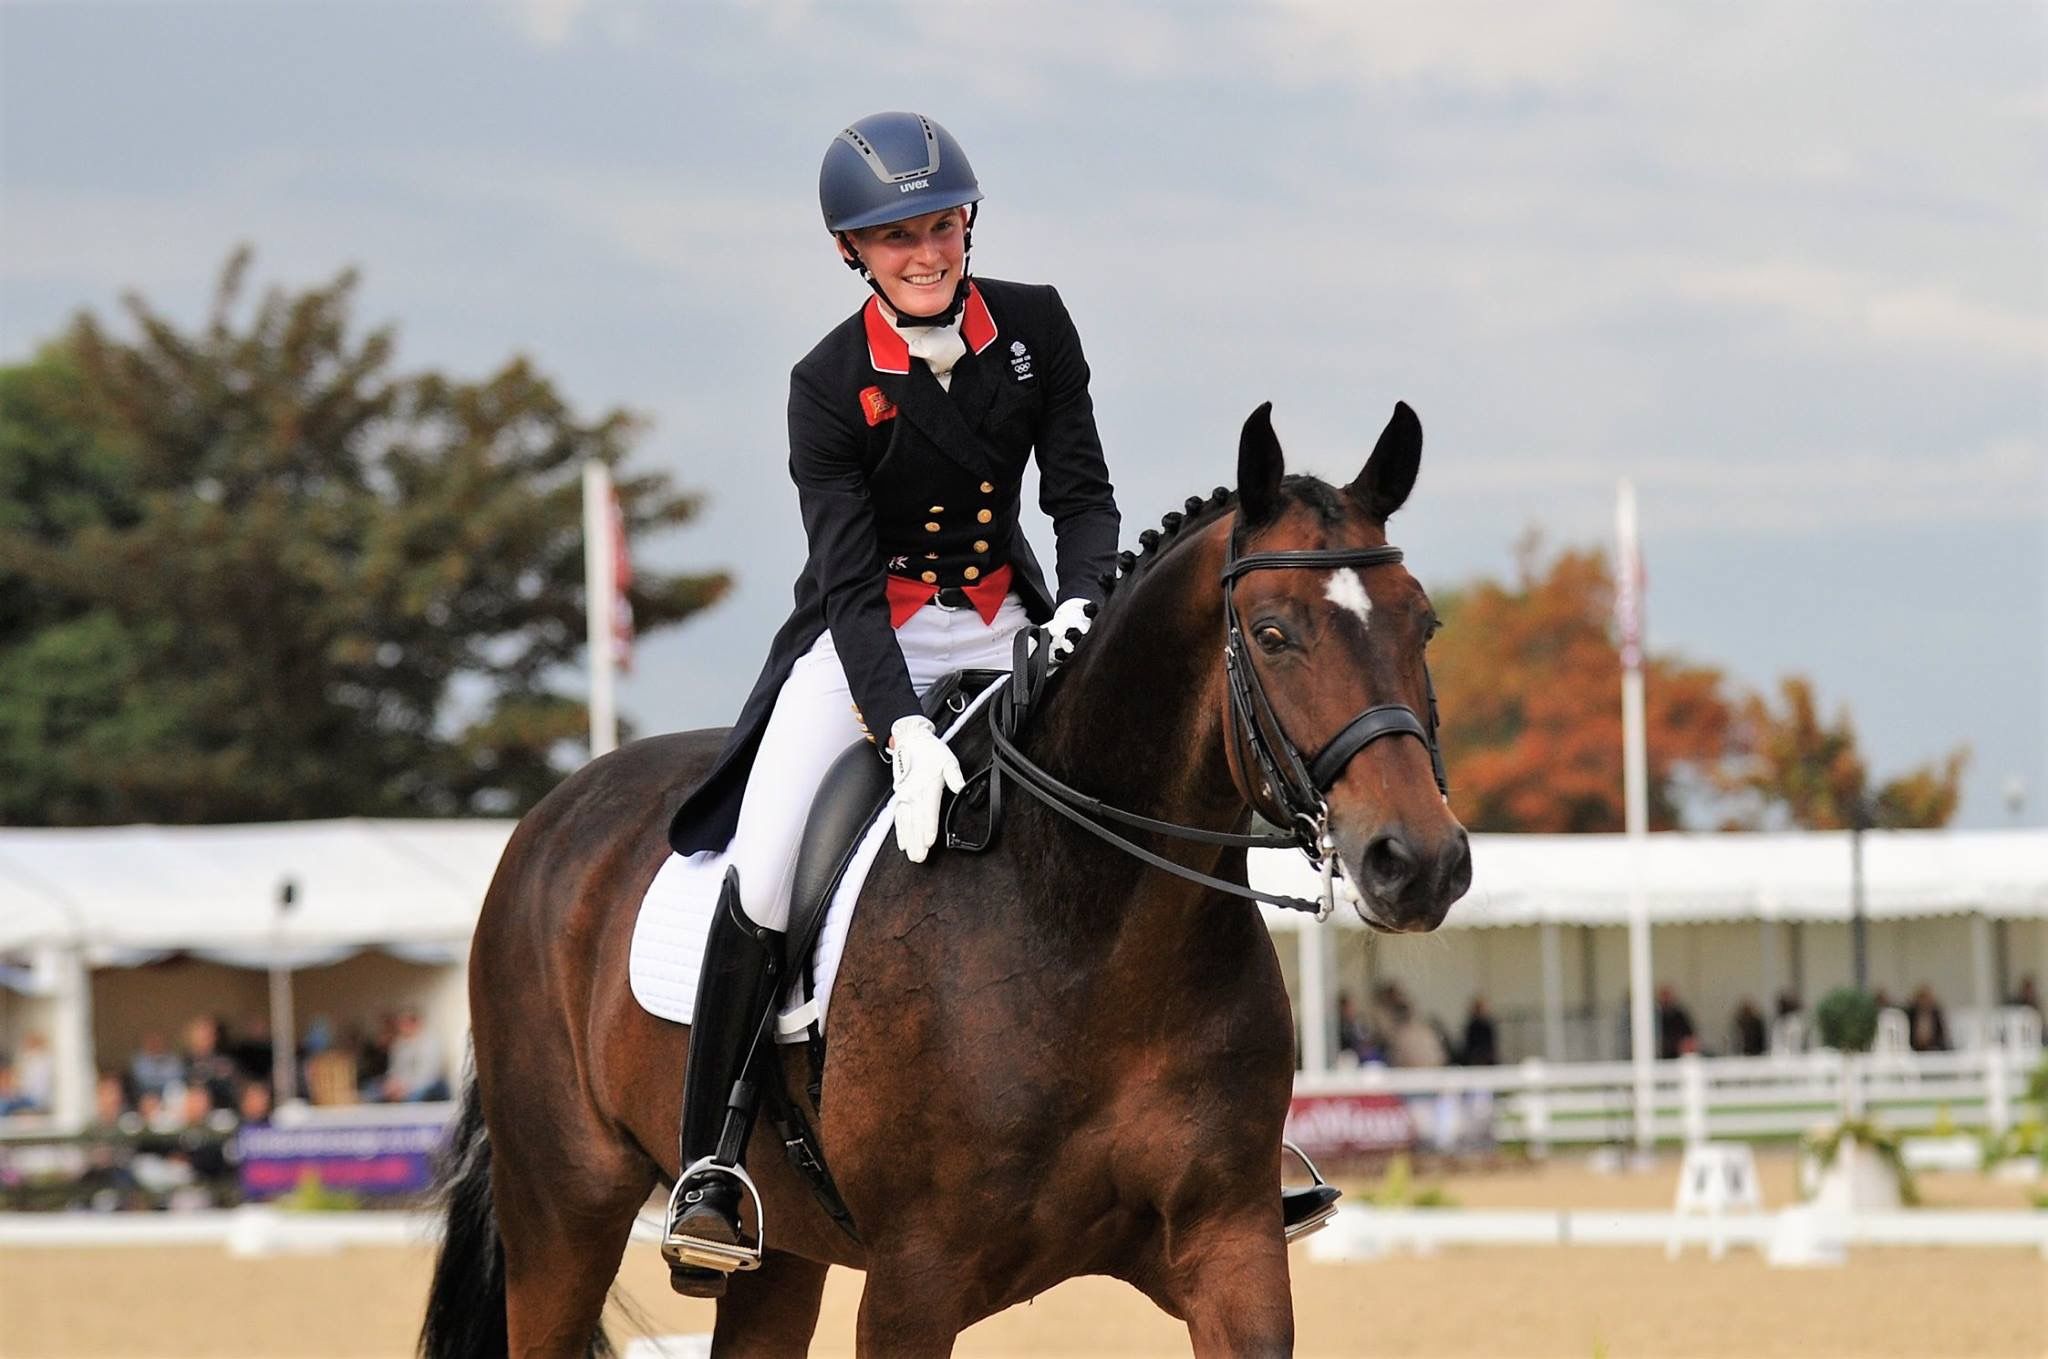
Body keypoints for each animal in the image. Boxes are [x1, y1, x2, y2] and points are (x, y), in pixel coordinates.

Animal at [419, 401, 1471, 1358]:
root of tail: (550, 819)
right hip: (565, 1211)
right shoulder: (913, 1286)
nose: (1419, 863)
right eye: (1271, 632)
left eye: (1424, 623)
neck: (1093, 932)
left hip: (781, 1248)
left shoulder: (1233, 1256)